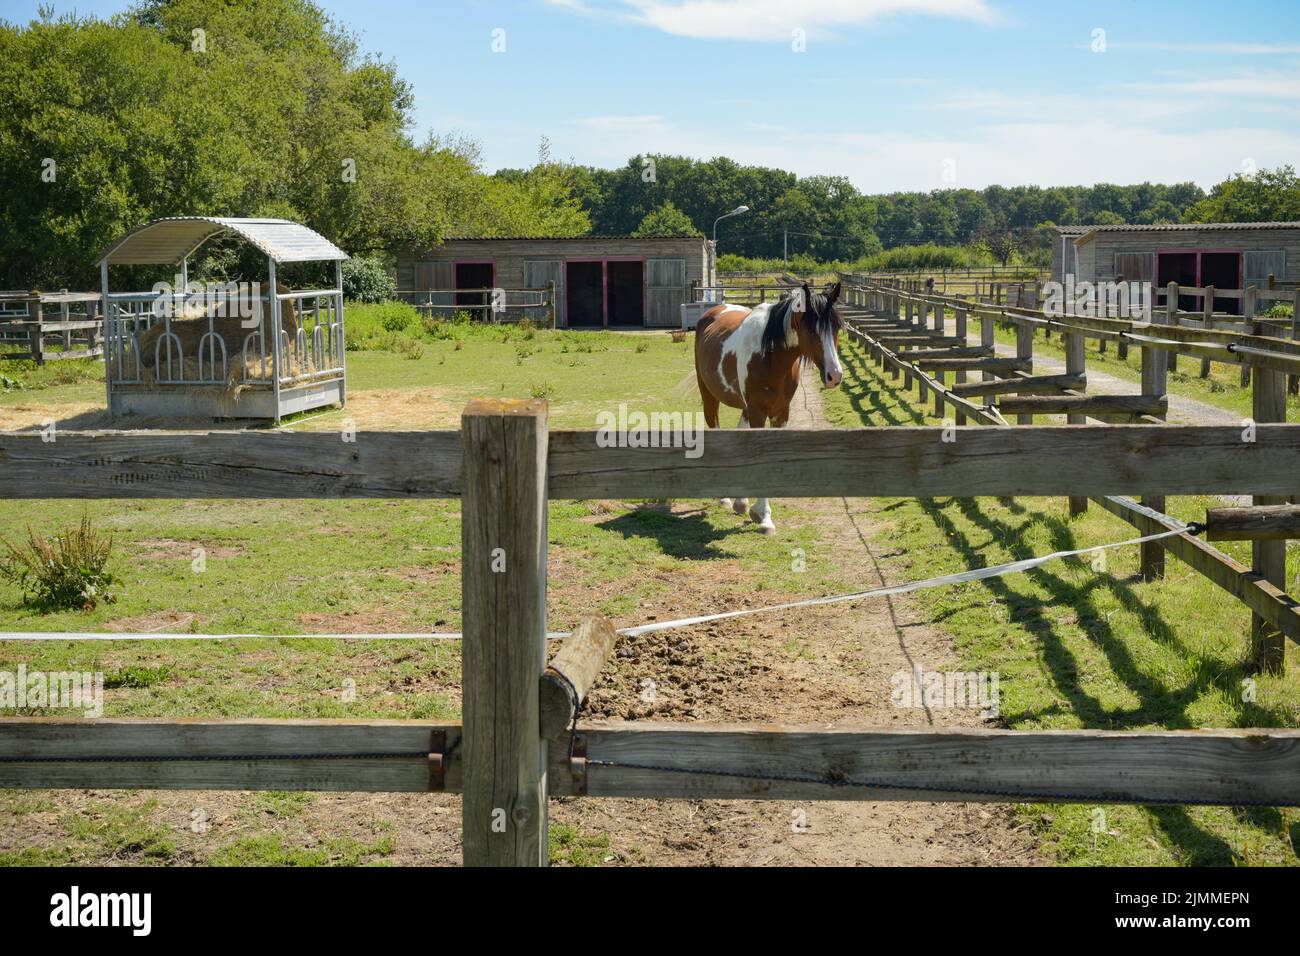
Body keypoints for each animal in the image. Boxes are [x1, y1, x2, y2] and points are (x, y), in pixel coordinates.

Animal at [693, 281, 844, 534]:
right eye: (811, 329)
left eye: (837, 327)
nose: (835, 375)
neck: (771, 356)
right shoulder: (758, 411)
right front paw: (764, 517)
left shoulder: (780, 413)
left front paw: (755, 510)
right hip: (710, 396)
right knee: (714, 426)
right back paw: (725, 497)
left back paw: (741, 501)